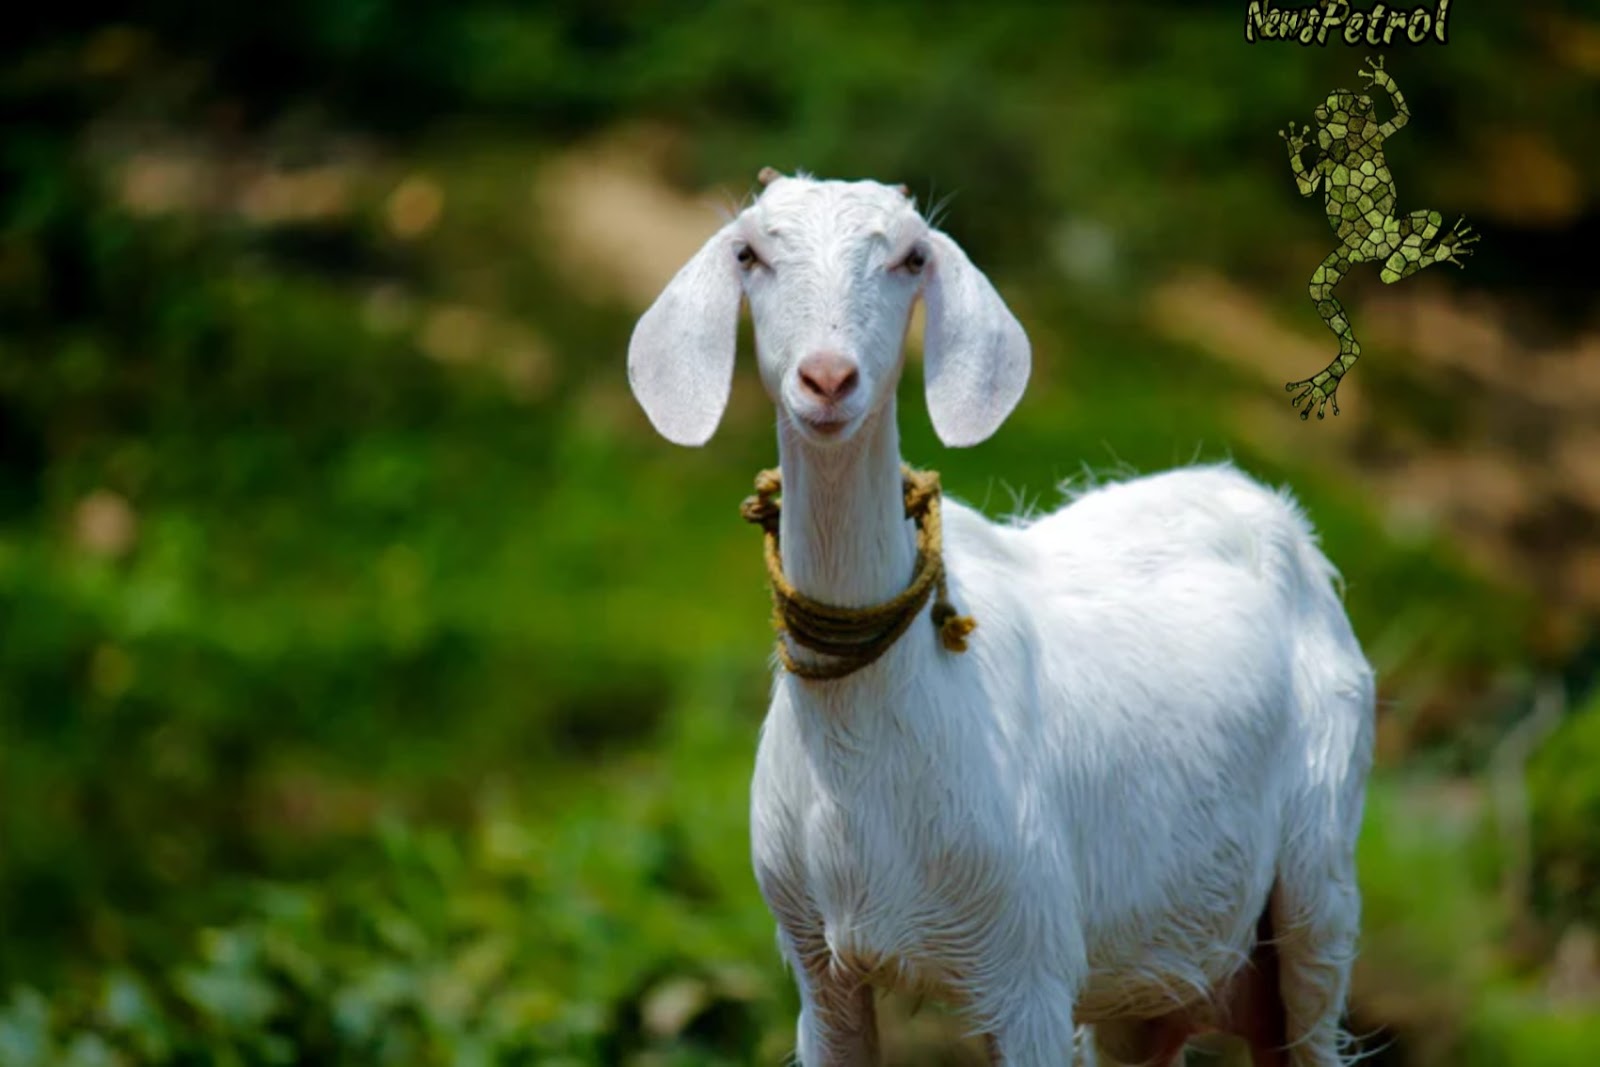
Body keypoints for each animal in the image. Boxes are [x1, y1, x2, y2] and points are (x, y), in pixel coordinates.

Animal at [626, 171, 1376, 1067]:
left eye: (911, 256)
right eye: (749, 251)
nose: (828, 379)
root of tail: (1273, 509)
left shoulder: (1029, 964)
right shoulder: (817, 964)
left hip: (1319, 888)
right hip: (1149, 986)